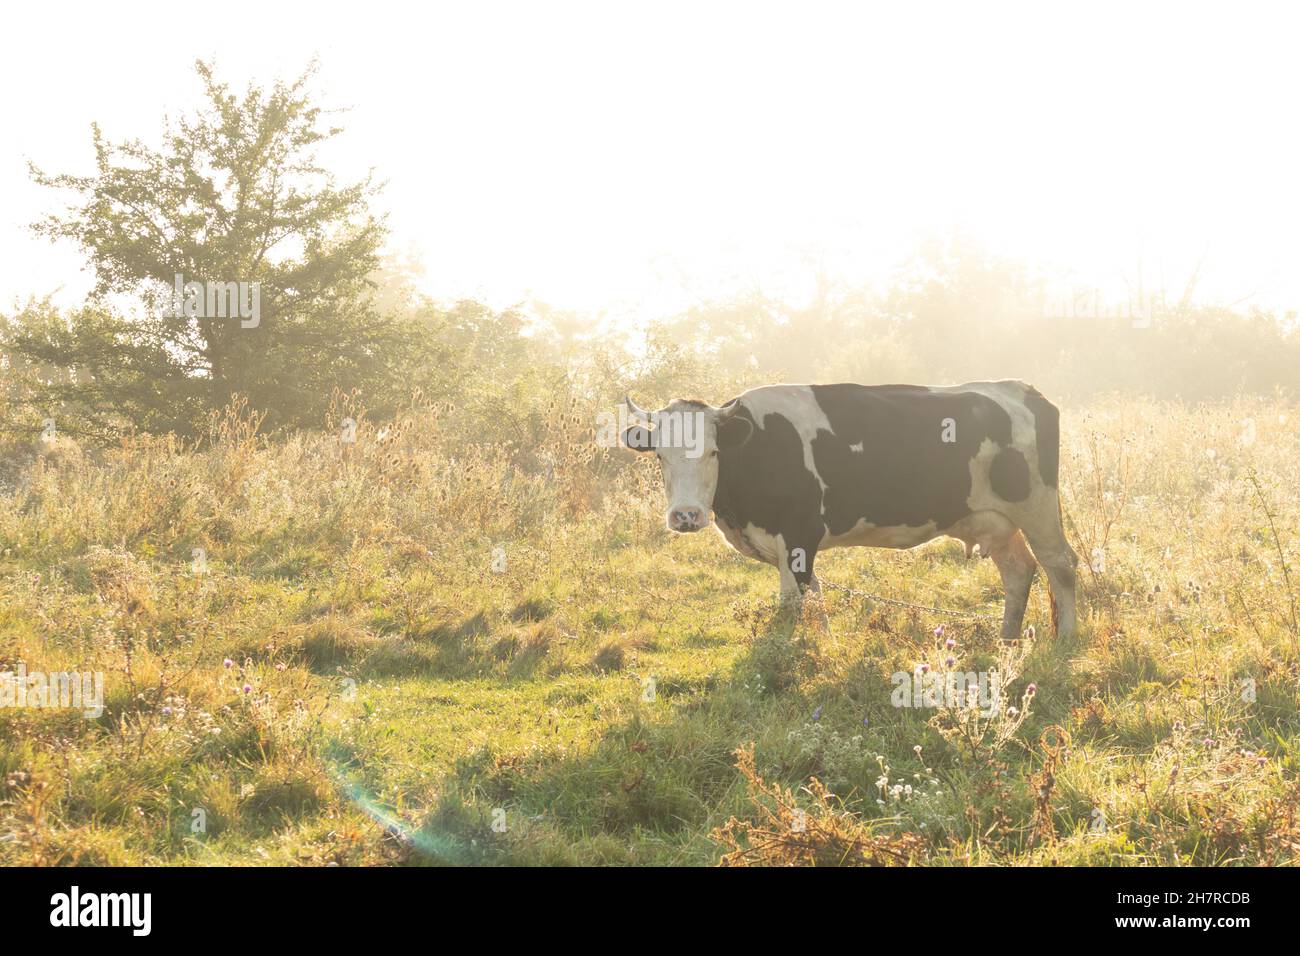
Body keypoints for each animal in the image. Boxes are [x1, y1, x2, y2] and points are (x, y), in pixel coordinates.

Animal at [622, 381, 1078, 640]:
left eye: (713, 452)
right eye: (660, 456)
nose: (686, 516)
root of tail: (1023, 390)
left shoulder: (798, 536)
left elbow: (793, 605)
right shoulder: (792, 545)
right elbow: (816, 600)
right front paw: (825, 648)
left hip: (1037, 508)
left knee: (1061, 566)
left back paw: (1066, 642)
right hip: (995, 520)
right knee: (1018, 570)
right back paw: (1007, 640)